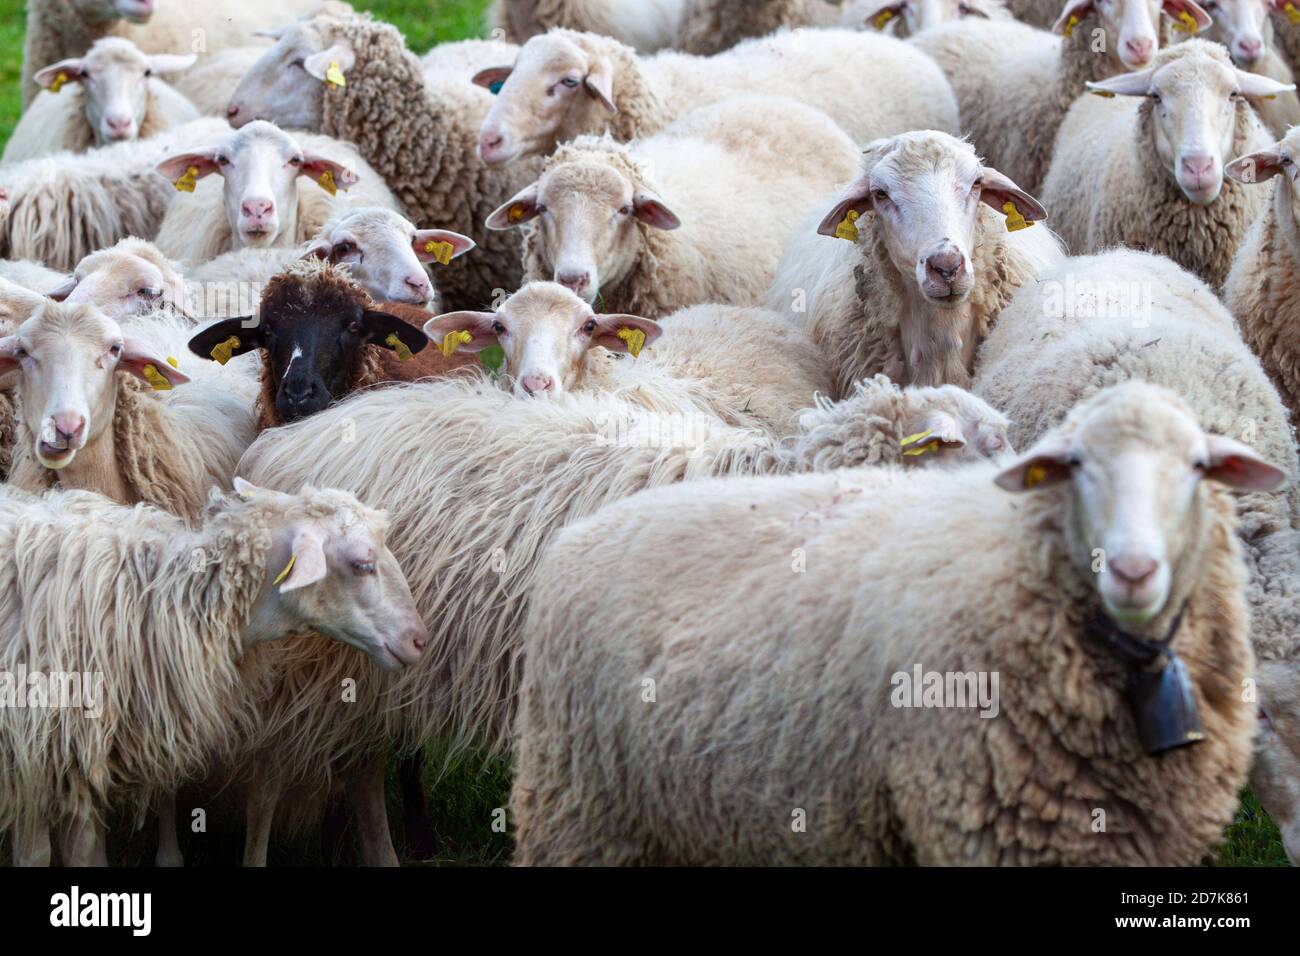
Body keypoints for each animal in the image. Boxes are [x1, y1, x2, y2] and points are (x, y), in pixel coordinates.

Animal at [0, 479, 426, 867]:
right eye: (362, 564)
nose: (420, 640)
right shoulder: (30, 756)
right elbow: (36, 854)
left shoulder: (74, 758)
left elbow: (83, 847)